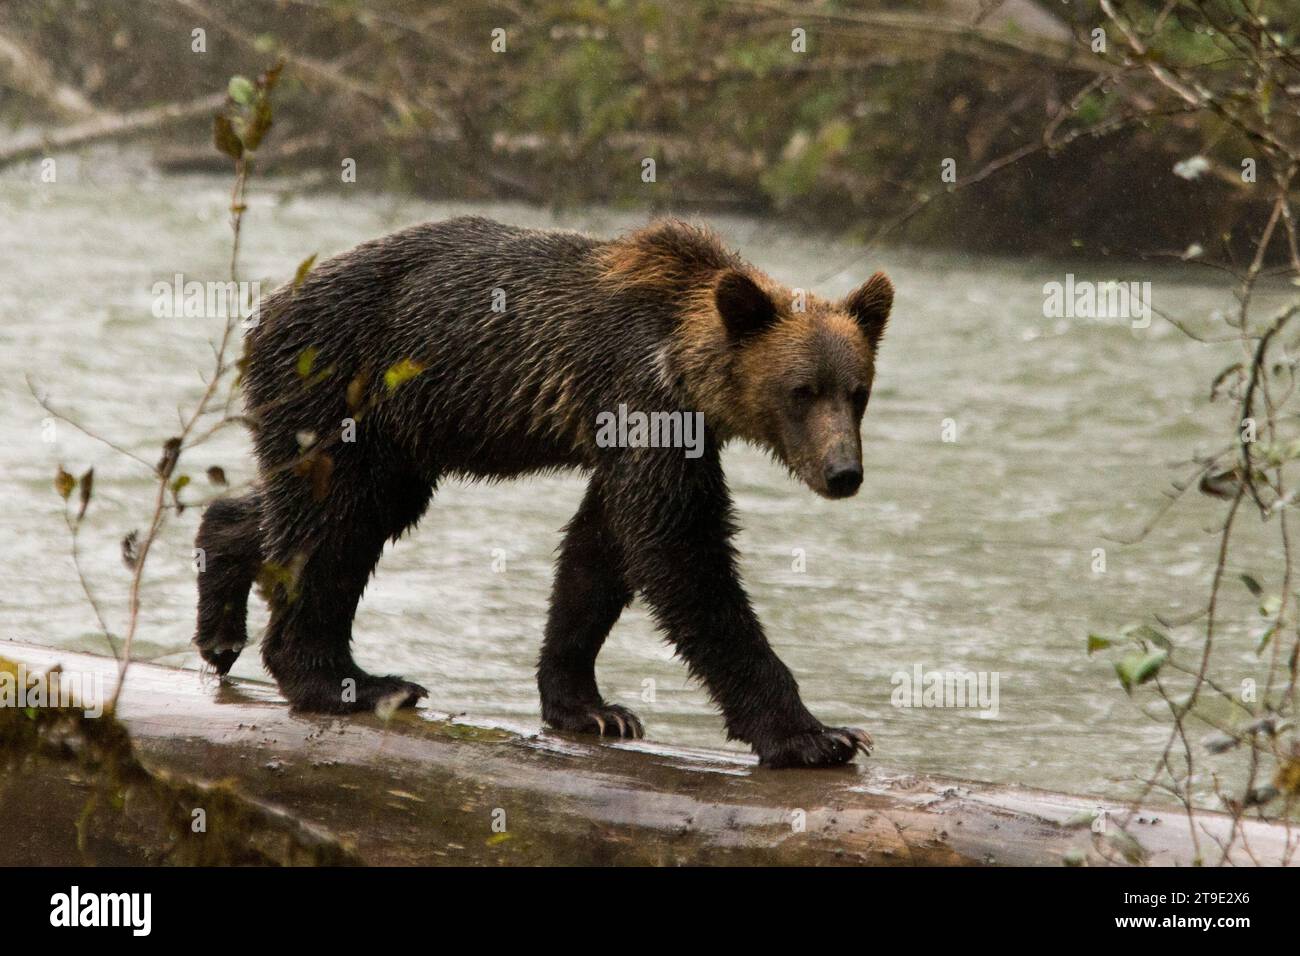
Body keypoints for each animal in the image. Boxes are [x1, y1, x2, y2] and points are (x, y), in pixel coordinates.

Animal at [194, 216, 894, 768]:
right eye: (802, 391)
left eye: (857, 391)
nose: (844, 473)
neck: (683, 364)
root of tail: (264, 309)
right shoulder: (640, 400)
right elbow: (680, 552)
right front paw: (817, 735)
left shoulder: (643, 434)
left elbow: (600, 551)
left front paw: (590, 706)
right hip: (342, 383)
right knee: (330, 519)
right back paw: (348, 680)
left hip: (398, 436)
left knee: (331, 511)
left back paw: (221, 612)